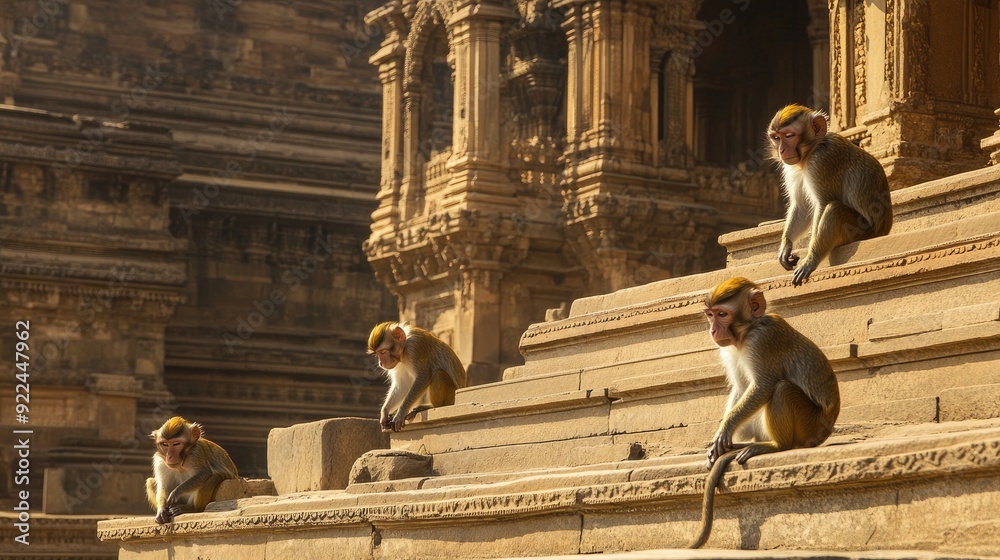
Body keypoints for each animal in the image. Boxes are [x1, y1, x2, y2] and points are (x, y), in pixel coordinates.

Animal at [689, 277, 840, 549]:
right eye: (710, 315)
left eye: (722, 314)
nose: (713, 330)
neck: (747, 330)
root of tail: (824, 431)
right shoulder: (731, 348)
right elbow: (741, 387)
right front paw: (722, 438)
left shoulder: (761, 341)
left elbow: (764, 386)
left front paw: (724, 432)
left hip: (809, 425)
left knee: (781, 389)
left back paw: (775, 446)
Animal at [769, 104, 893, 286]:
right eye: (776, 138)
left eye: (789, 136)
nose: (781, 150)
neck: (813, 148)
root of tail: (883, 231)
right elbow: (802, 206)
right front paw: (786, 246)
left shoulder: (822, 160)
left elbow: (823, 203)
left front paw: (811, 259)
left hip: (861, 232)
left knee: (834, 209)